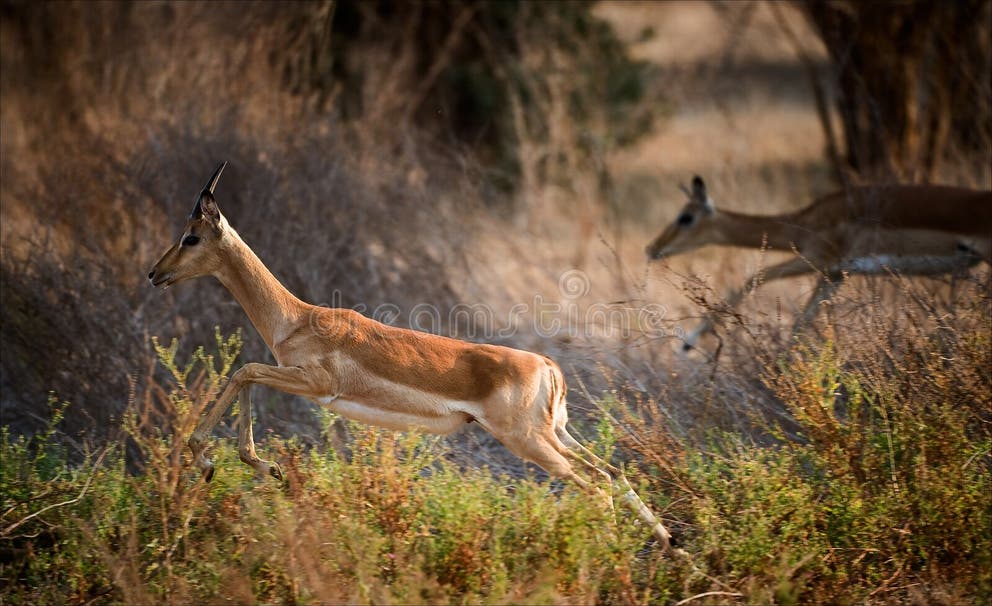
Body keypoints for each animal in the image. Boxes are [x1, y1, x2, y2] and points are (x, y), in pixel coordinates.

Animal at [148, 163, 678, 553]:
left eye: (191, 236)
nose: (154, 273)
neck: (296, 318)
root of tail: (547, 367)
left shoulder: (316, 385)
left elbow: (244, 371)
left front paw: (212, 460)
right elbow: (248, 378)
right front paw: (263, 466)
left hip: (529, 440)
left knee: (597, 487)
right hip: (558, 434)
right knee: (613, 473)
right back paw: (672, 548)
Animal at [647, 176, 992, 350]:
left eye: (685, 217)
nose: (652, 248)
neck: (804, 222)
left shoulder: (816, 260)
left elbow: (755, 277)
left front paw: (689, 341)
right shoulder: (835, 275)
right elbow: (801, 323)